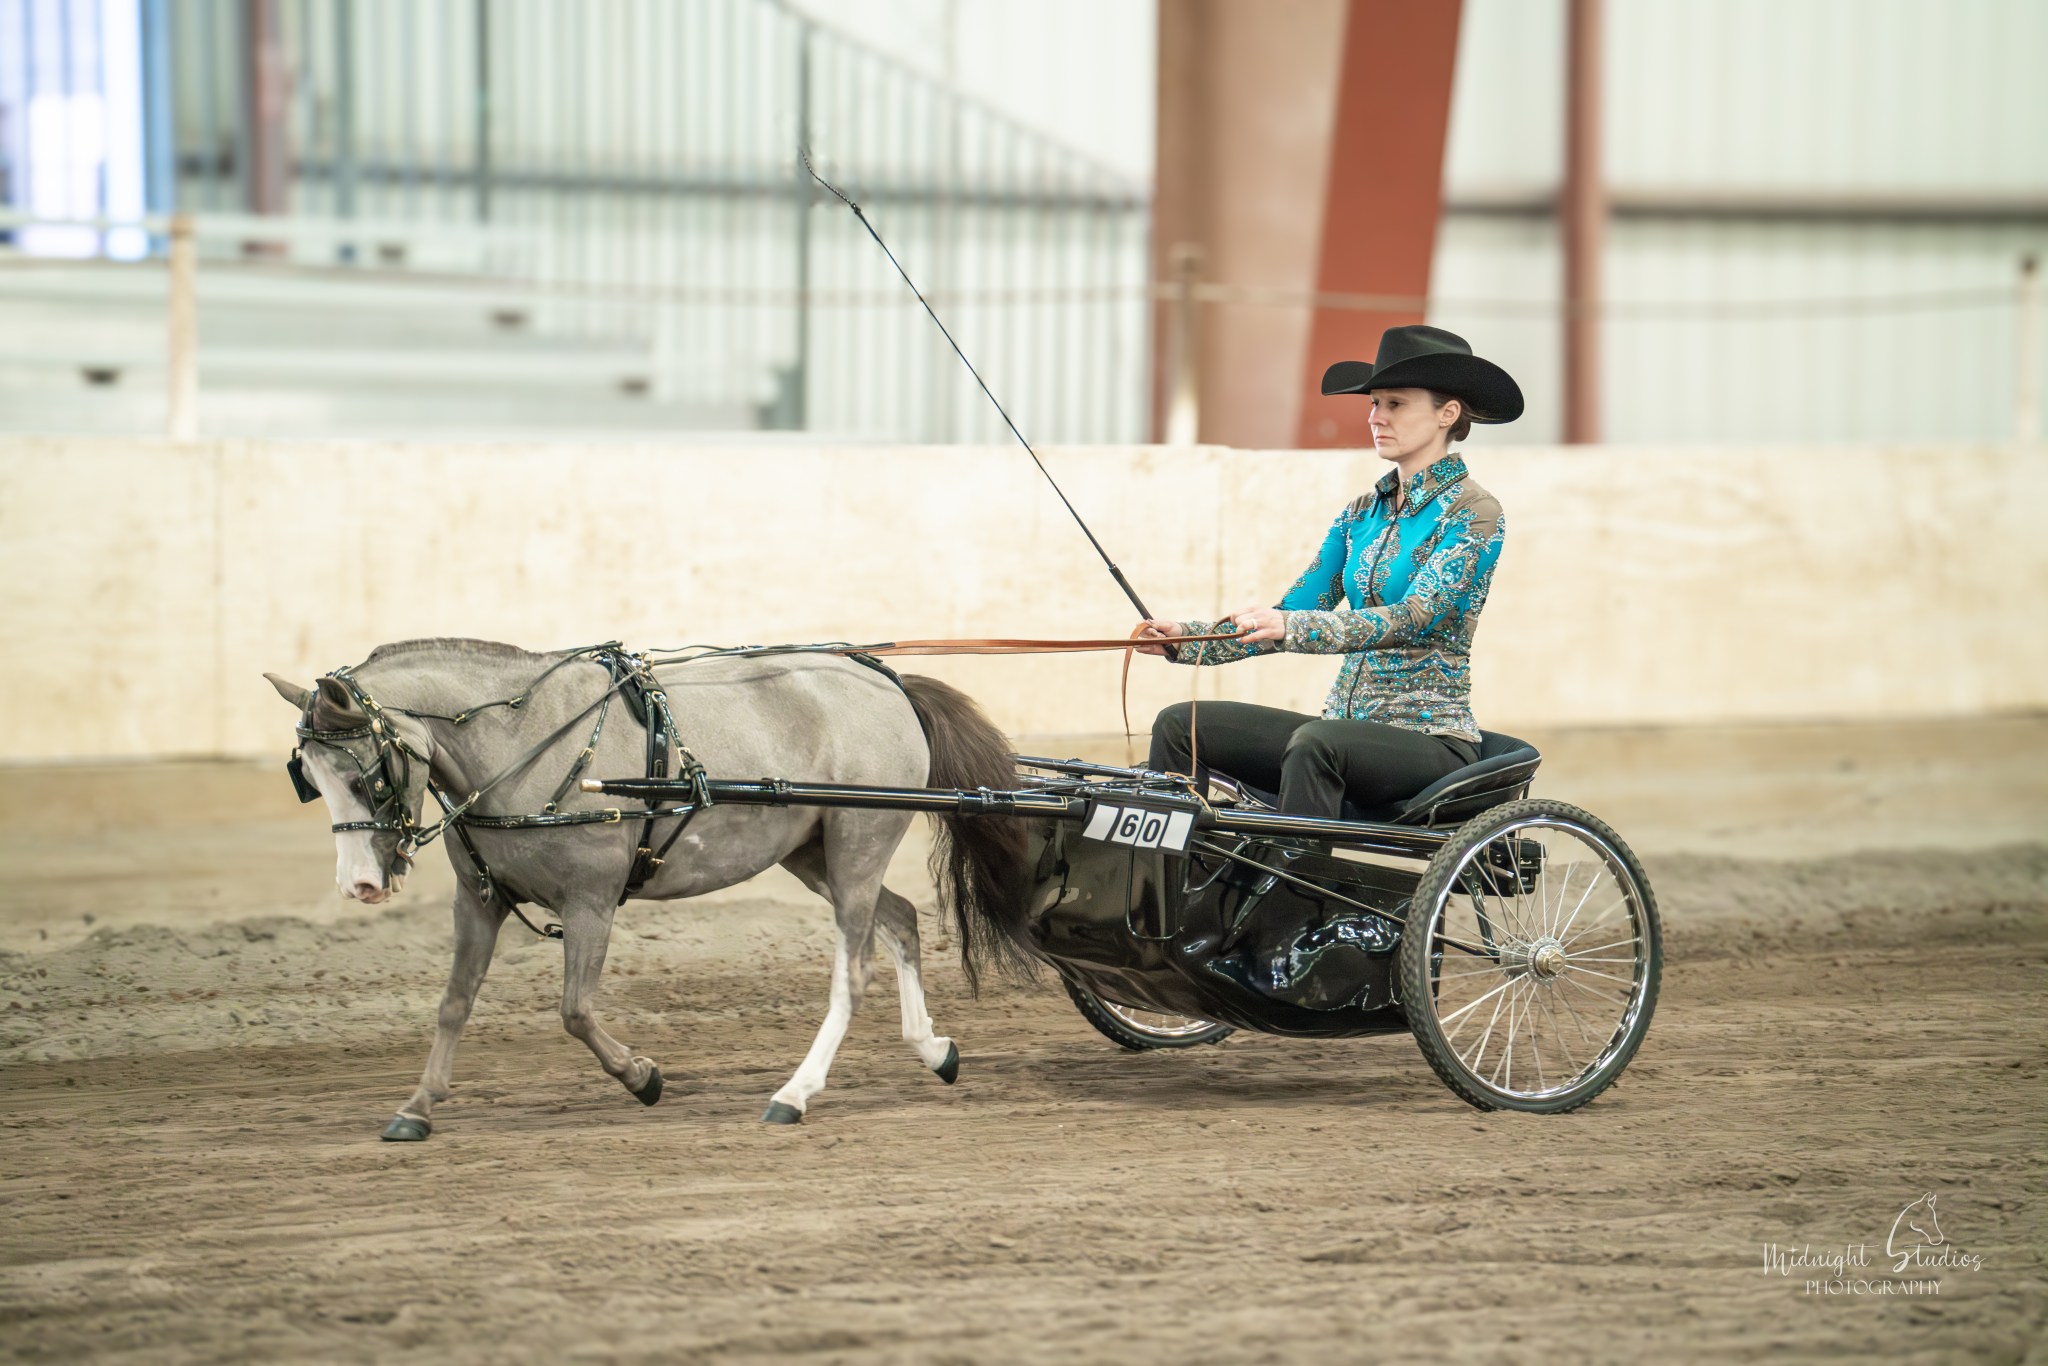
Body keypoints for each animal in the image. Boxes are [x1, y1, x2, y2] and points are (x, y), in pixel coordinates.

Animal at [264, 638, 1030, 1135]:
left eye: (366, 774)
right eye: (310, 778)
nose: (360, 885)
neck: (522, 742)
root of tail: (889, 682)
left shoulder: (591, 902)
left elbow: (575, 1010)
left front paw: (643, 1077)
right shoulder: (478, 899)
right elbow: (454, 1004)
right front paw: (417, 1107)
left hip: (857, 843)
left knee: (855, 967)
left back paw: (796, 1092)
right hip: (814, 853)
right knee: (899, 922)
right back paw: (933, 1050)